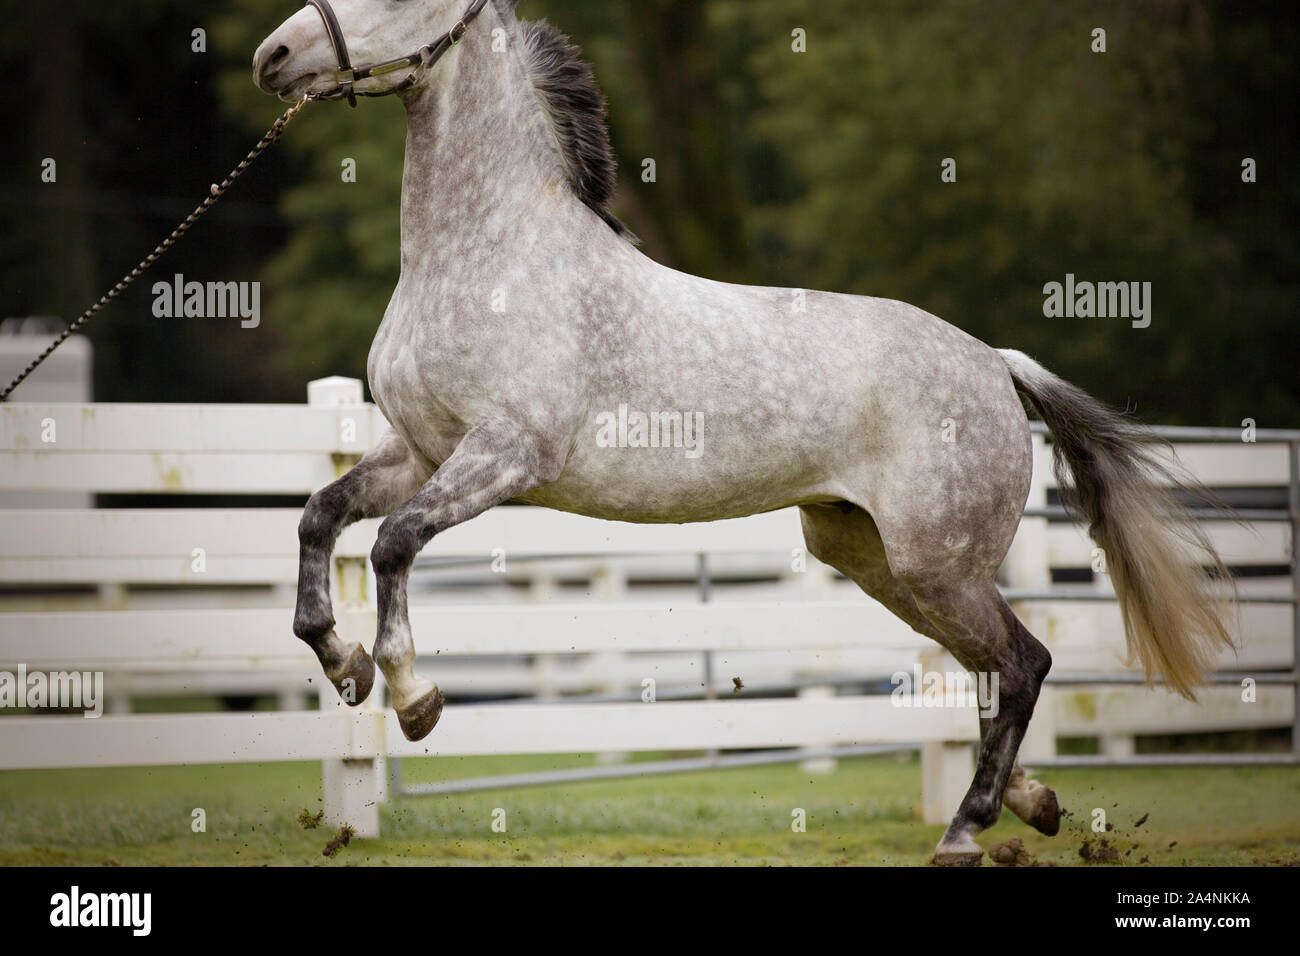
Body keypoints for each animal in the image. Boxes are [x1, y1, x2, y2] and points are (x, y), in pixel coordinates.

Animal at [253, 0, 1234, 865]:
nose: (274, 55)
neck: (490, 261)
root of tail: (995, 363)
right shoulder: (417, 448)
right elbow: (319, 517)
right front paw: (344, 664)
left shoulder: (504, 456)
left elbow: (392, 542)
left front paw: (413, 696)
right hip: (874, 558)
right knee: (997, 669)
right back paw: (1033, 802)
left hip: (938, 565)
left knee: (1024, 664)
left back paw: (966, 829)